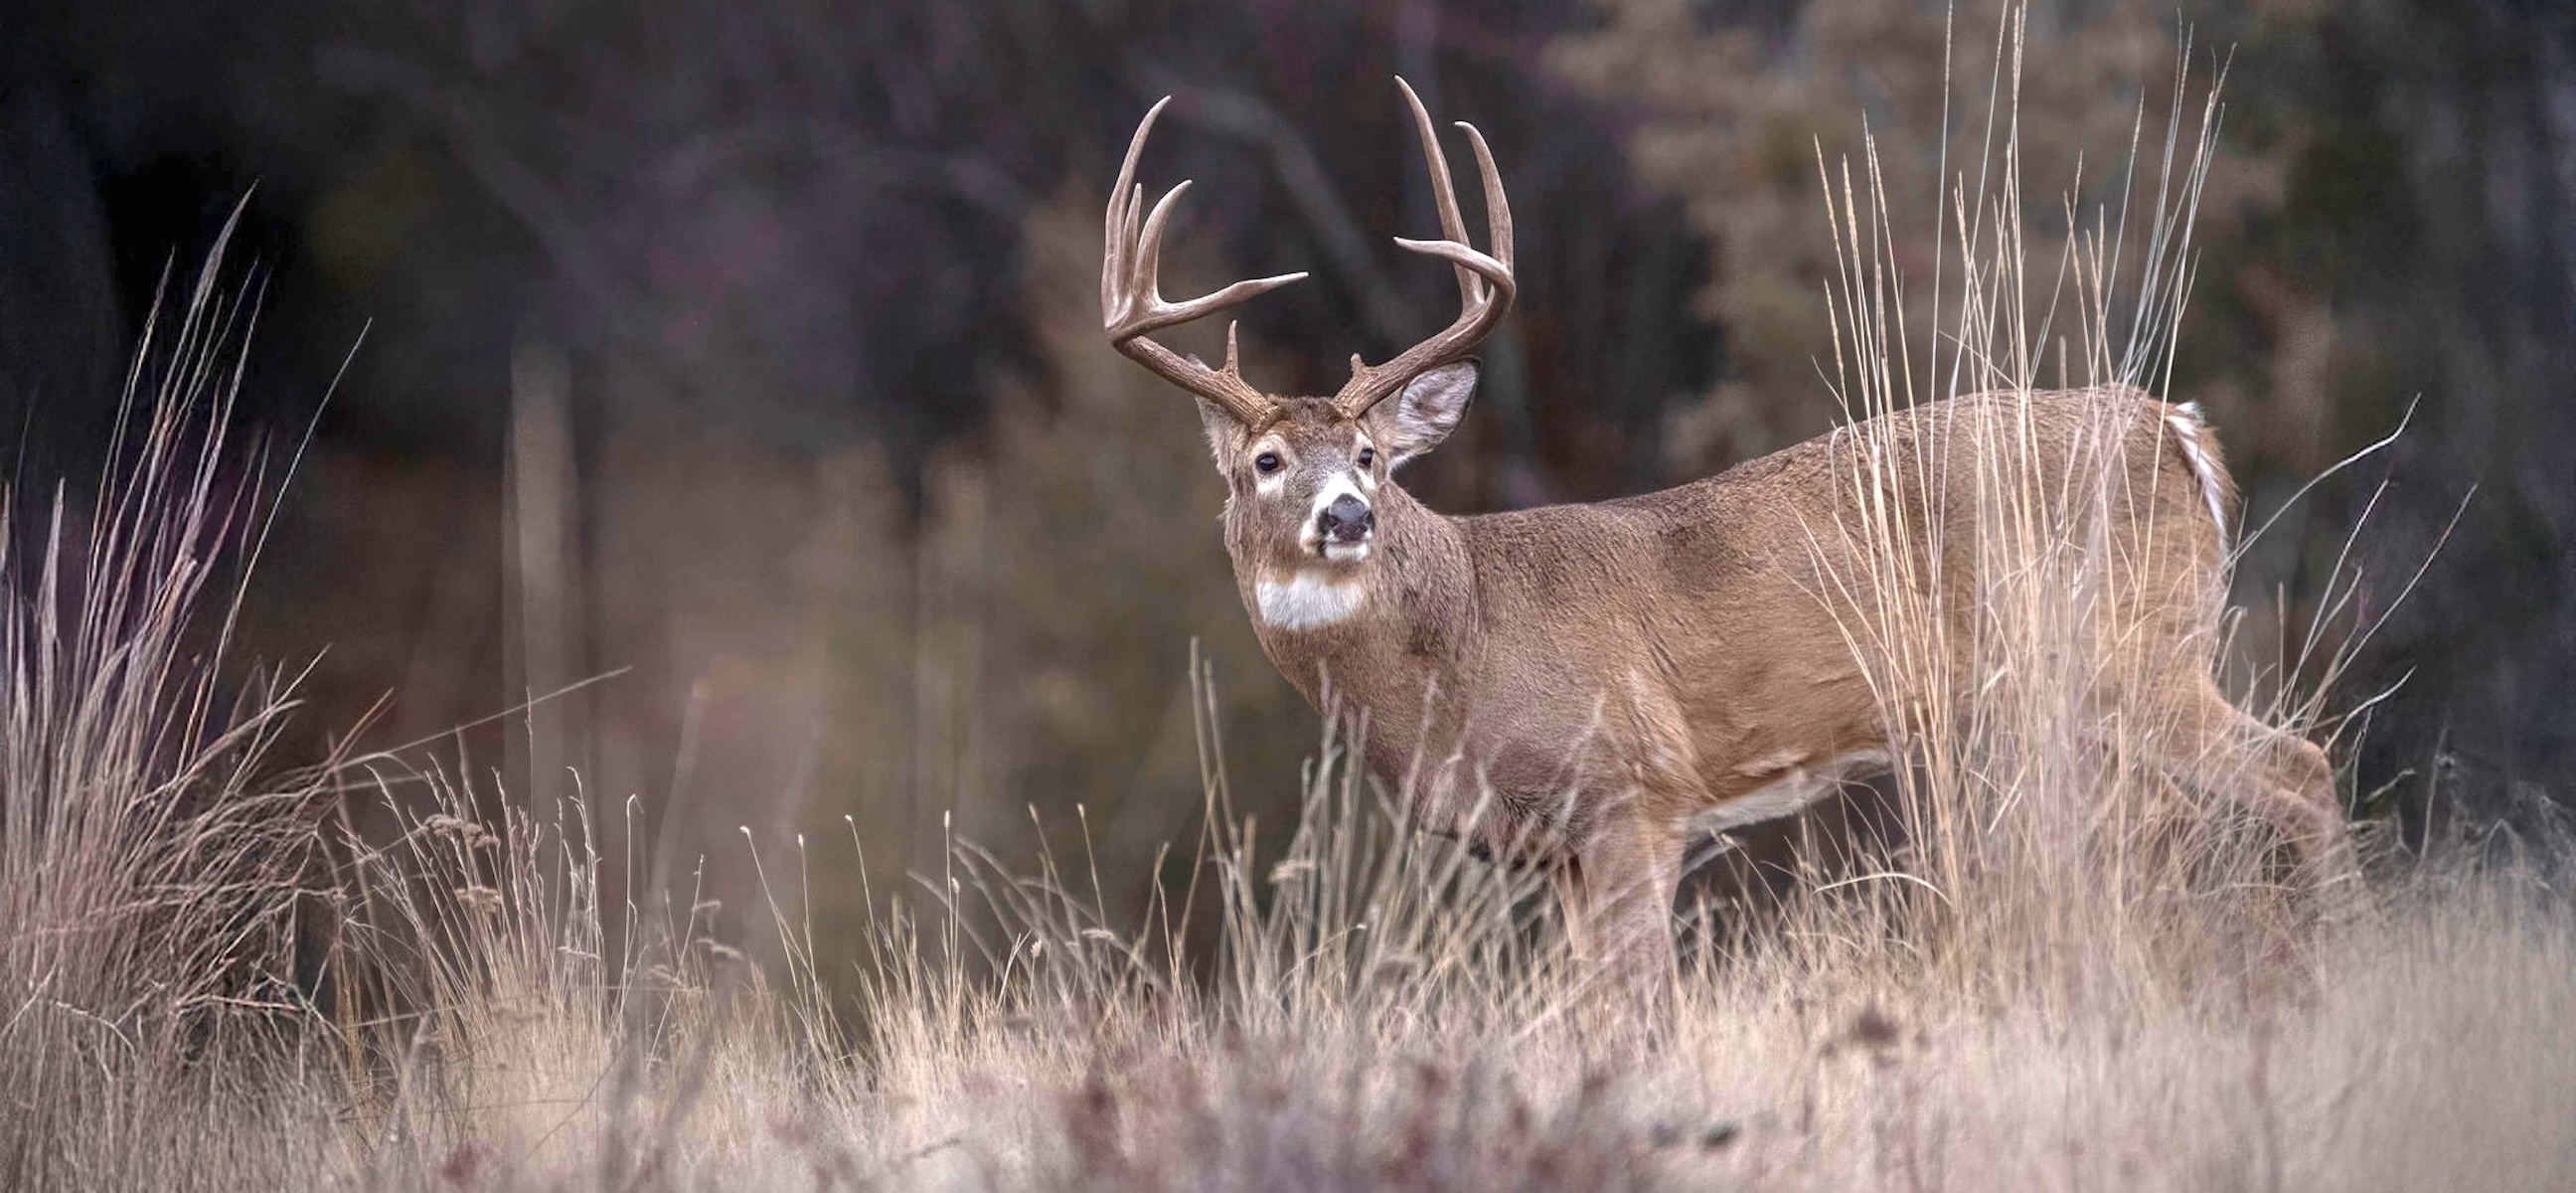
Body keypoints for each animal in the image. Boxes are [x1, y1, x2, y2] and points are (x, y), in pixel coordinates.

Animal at [1101, 80, 2358, 980]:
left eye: (1369, 456)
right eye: (1266, 463)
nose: (1350, 514)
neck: (1460, 646)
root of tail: (2179, 430)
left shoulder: (1635, 792)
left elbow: (1640, 1012)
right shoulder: (1559, 857)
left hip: (2125, 647)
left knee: (2293, 767)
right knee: (2170, 816)